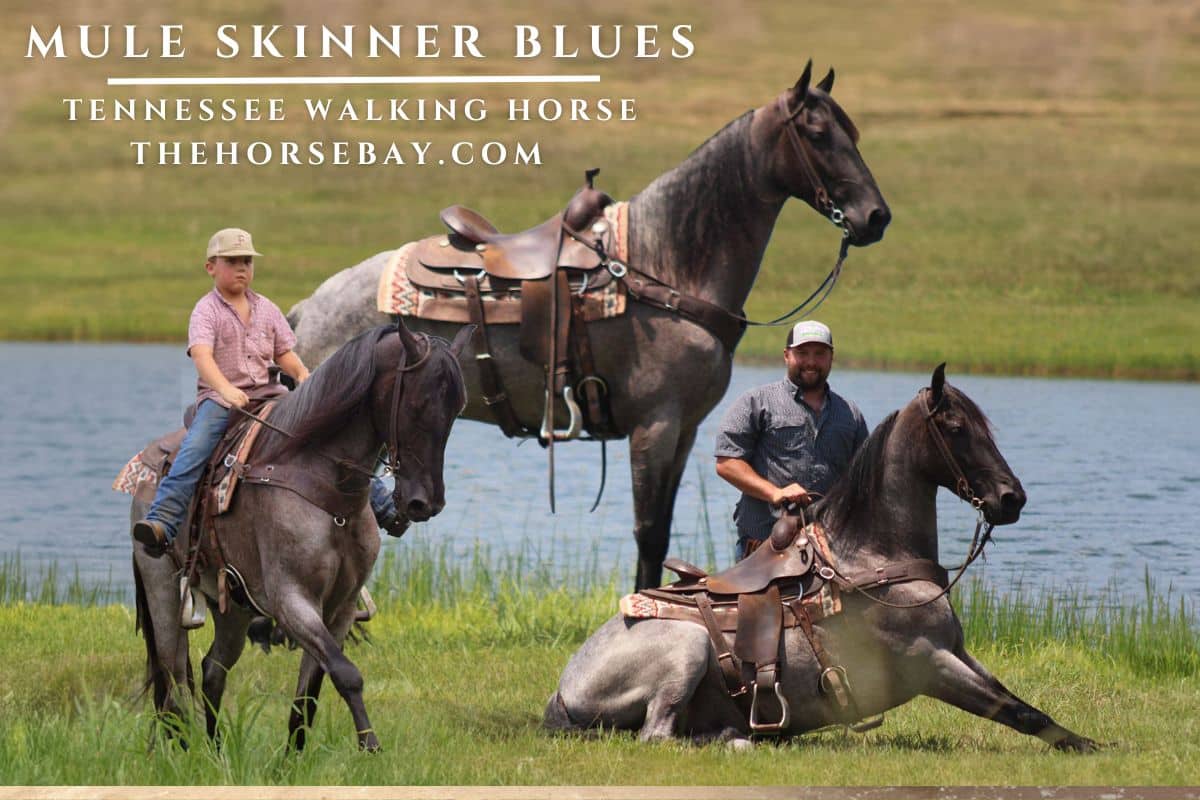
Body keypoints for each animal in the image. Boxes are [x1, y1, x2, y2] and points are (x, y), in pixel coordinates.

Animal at [131, 321, 472, 751]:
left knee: (212, 671)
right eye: (418, 404)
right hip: (162, 593)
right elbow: (346, 674)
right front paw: (371, 746)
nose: (424, 502)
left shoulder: (340, 608)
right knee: (173, 680)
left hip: (233, 610)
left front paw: (293, 757)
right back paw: (186, 750)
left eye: (457, 410)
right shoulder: (292, 600)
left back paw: (217, 750)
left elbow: (311, 689)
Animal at [285, 62, 891, 591]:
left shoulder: (685, 430)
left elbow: (662, 530)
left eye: (854, 132)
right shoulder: (655, 425)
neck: (665, 263)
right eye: (817, 134)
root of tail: (307, 311)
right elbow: (649, 534)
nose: (876, 217)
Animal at [542, 365, 1099, 752]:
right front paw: (1088, 746)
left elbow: (1015, 699)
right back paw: (738, 739)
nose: (1012, 499)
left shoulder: (957, 652)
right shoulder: (929, 662)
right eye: (957, 426)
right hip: (686, 650)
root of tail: (564, 689)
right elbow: (1014, 710)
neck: (875, 560)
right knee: (657, 735)